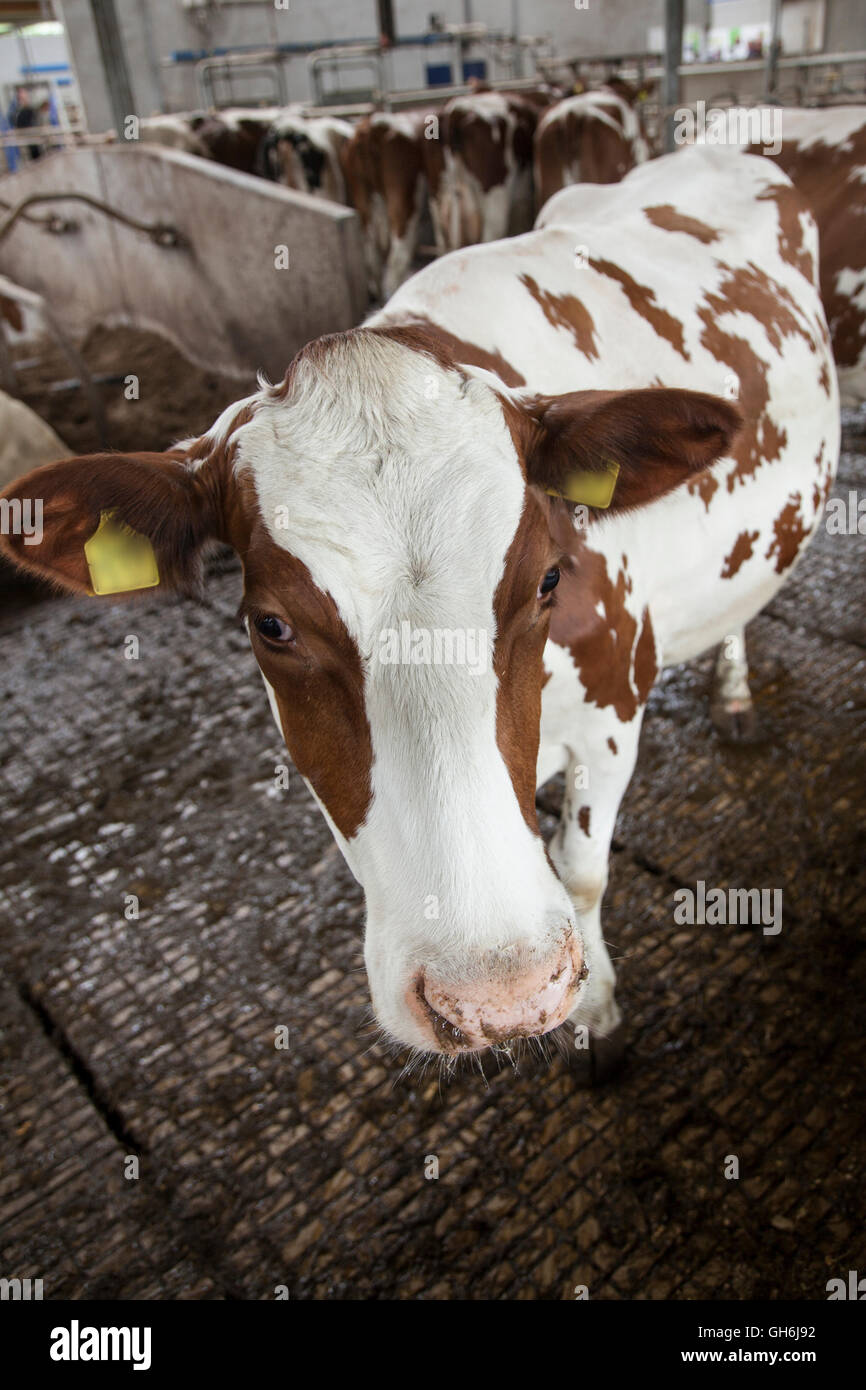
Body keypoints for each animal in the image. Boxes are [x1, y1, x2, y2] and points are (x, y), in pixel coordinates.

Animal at [0, 147, 837, 1067]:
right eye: (270, 625)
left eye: (549, 580)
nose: (496, 997)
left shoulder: (617, 709)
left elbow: (582, 868)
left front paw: (595, 1014)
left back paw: (734, 692)